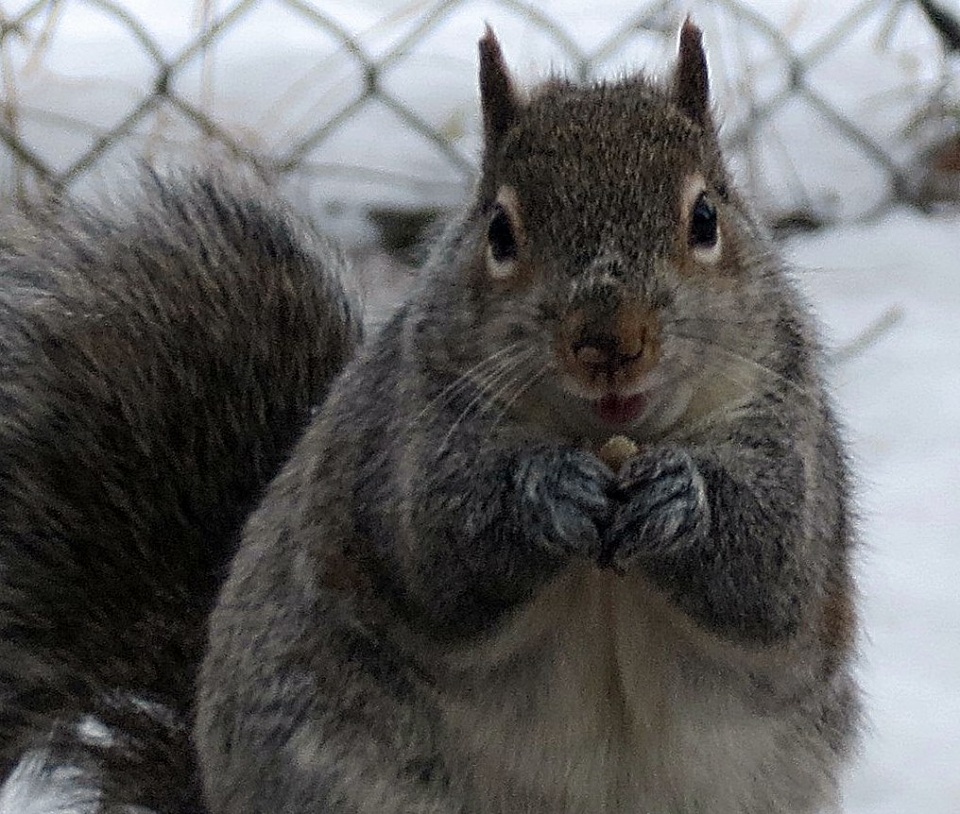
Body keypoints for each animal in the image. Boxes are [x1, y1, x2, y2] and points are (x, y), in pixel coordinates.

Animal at [0, 19, 859, 814]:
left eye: (706, 218)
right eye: (499, 231)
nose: (609, 343)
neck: (606, 438)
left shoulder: (790, 422)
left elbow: (776, 569)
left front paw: (683, 498)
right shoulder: (404, 430)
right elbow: (431, 546)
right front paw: (543, 492)